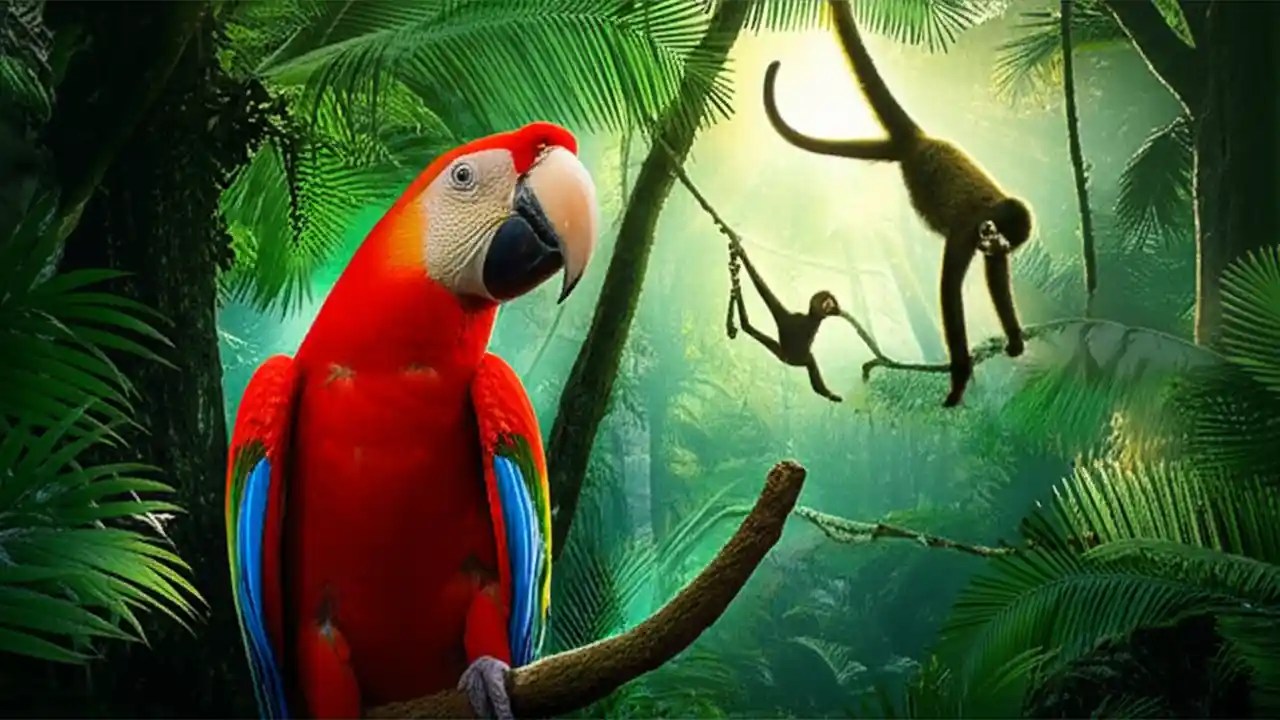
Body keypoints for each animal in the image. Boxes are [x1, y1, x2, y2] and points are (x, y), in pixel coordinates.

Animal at [729, 243, 844, 403]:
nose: (831, 303)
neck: (806, 317)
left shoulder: (796, 316)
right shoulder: (810, 322)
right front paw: (834, 308)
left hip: (779, 350)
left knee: (751, 329)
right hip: (799, 358)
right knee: (812, 363)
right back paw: (828, 394)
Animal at [762, 0, 1034, 408]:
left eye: (1005, 241)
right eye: (994, 233)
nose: (993, 242)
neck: (990, 208)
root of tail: (921, 140)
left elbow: (995, 276)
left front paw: (1014, 337)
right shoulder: (966, 230)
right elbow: (949, 293)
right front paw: (960, 376)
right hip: (900, 154)